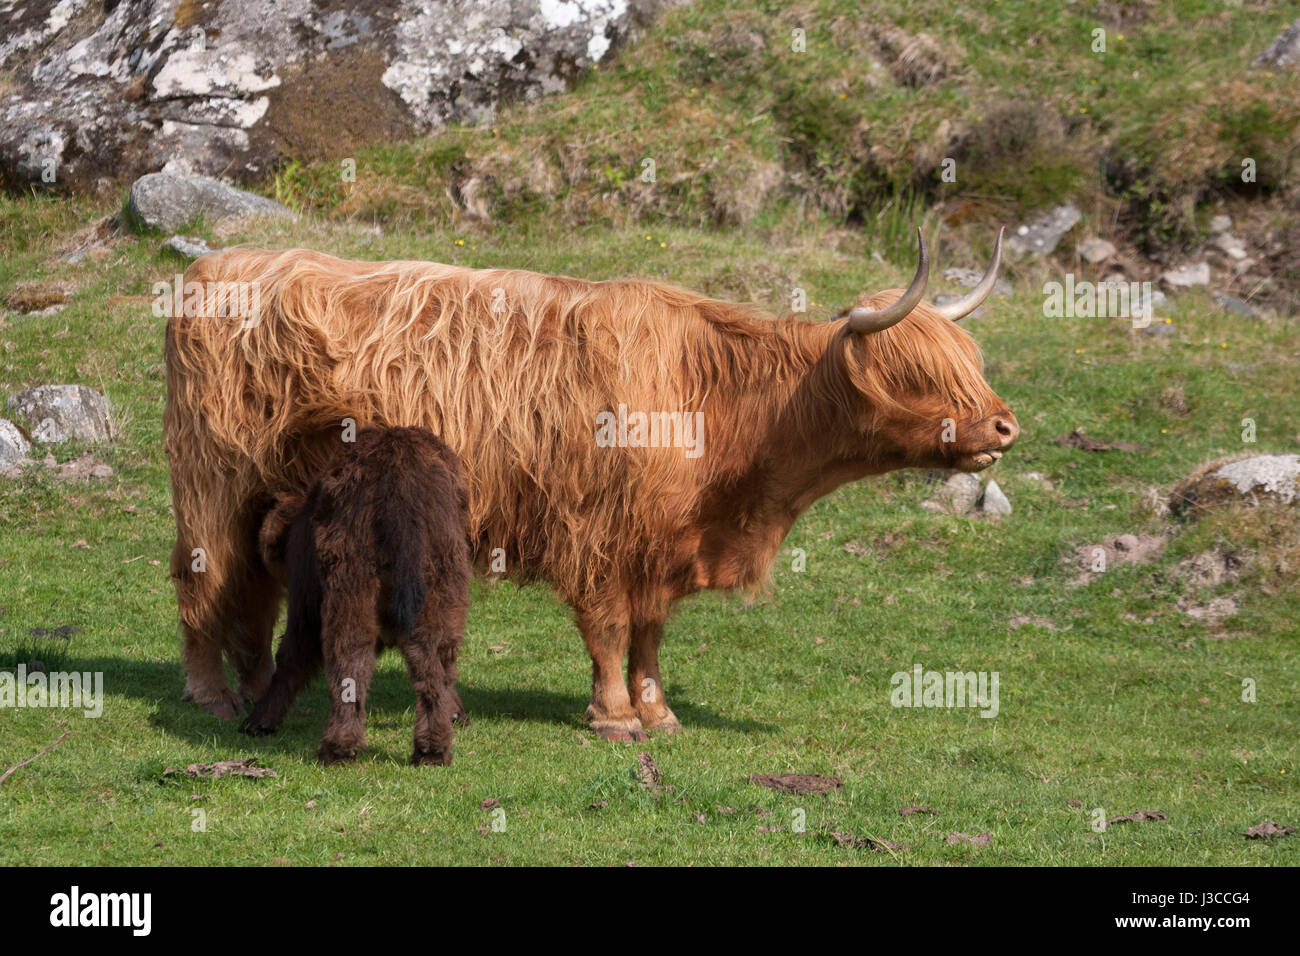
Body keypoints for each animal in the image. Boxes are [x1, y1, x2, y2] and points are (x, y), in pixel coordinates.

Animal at [163, 228, 1018, 740]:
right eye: (917, 371)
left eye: (970, 360)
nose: (1006, 427)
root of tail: (215, 265)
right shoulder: (598, 531)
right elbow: (608, 629)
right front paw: (613, 719)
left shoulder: (661, 545)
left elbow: (650, 633)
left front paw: (659, 713)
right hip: (213, 484)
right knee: (203, 582)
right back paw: (212, 696)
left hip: (276, 496)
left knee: (257, 593)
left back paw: (267, 688)